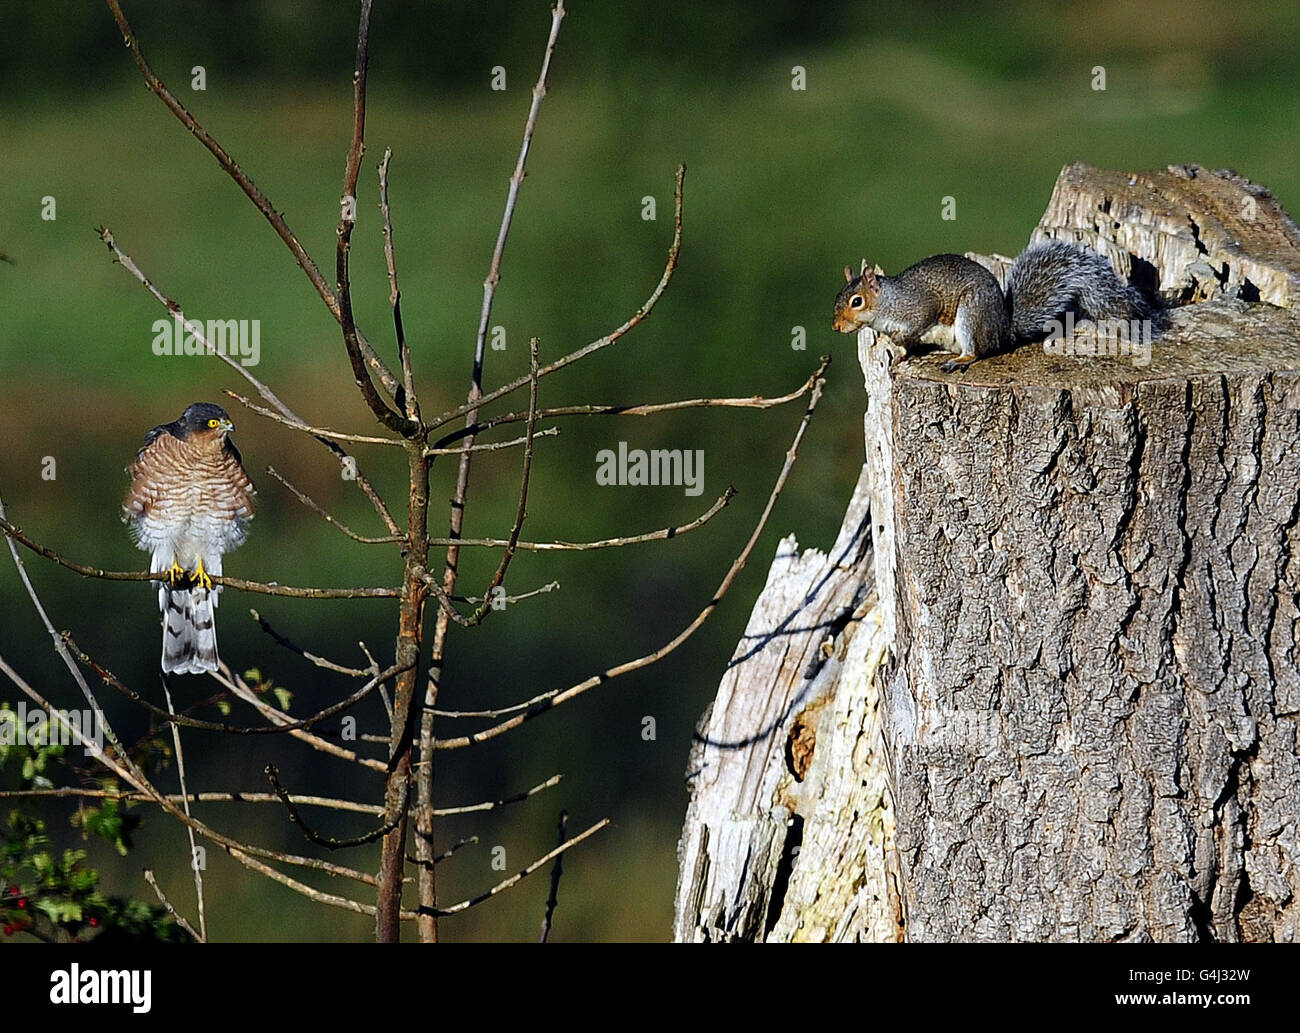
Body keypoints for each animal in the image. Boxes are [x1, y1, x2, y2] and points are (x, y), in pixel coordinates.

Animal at [831, 239, 1159, 372]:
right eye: (837, 299)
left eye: (856, 301)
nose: (836, 327)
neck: (888, 302)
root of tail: (1003, 330)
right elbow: (905, 348)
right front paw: (896, 357)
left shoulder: (919, 306)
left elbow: (919, 322)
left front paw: (898, 340)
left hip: (970, 316)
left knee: (976, 351)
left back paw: (959, 360)